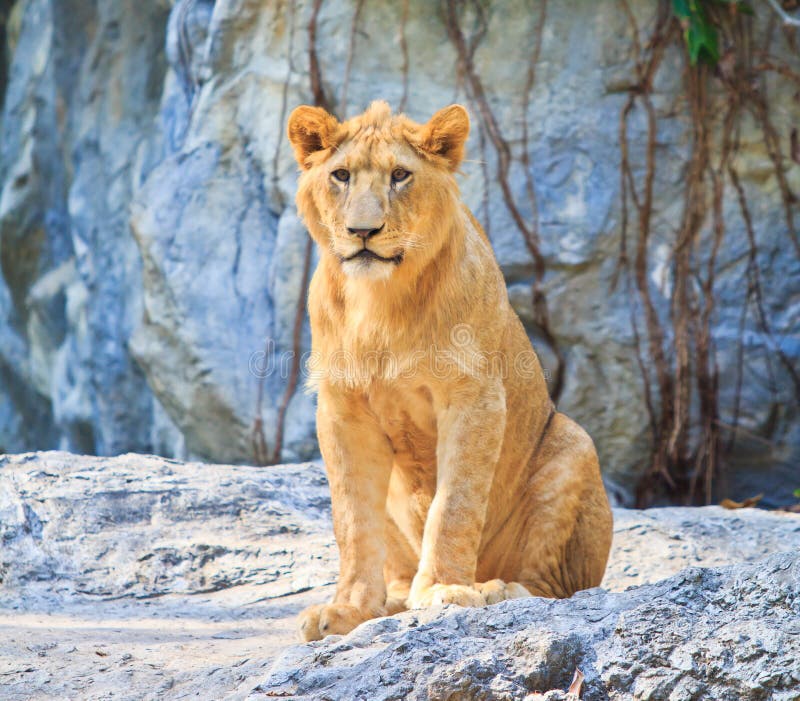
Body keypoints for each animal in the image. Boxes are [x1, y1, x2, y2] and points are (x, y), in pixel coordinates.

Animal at [286, 100, 613, 642]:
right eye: (341, 175)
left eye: (400, 175)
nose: (362, 231)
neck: (379, 303)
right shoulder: (342, 409)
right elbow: (352, 520)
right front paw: (348, 609)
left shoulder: (474, 396)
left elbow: (455, 503)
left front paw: (444, 589)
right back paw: (392, 602)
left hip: (574, 445)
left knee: (556, 588)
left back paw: (496, 589)